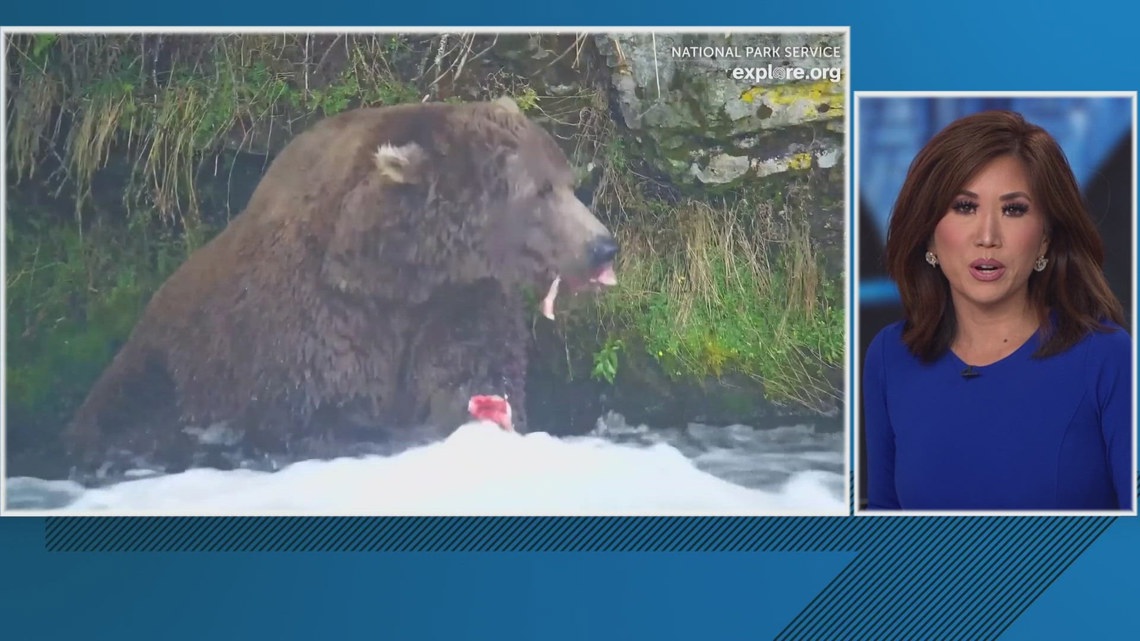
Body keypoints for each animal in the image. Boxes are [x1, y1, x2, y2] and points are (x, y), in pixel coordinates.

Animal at [62, 96, 618, 477]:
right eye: (539, 190)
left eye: (569, 181)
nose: (603, 245)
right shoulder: (314, 312)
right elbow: (320, 407)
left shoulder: (458, 301)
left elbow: (471, 372)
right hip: (160, 370)